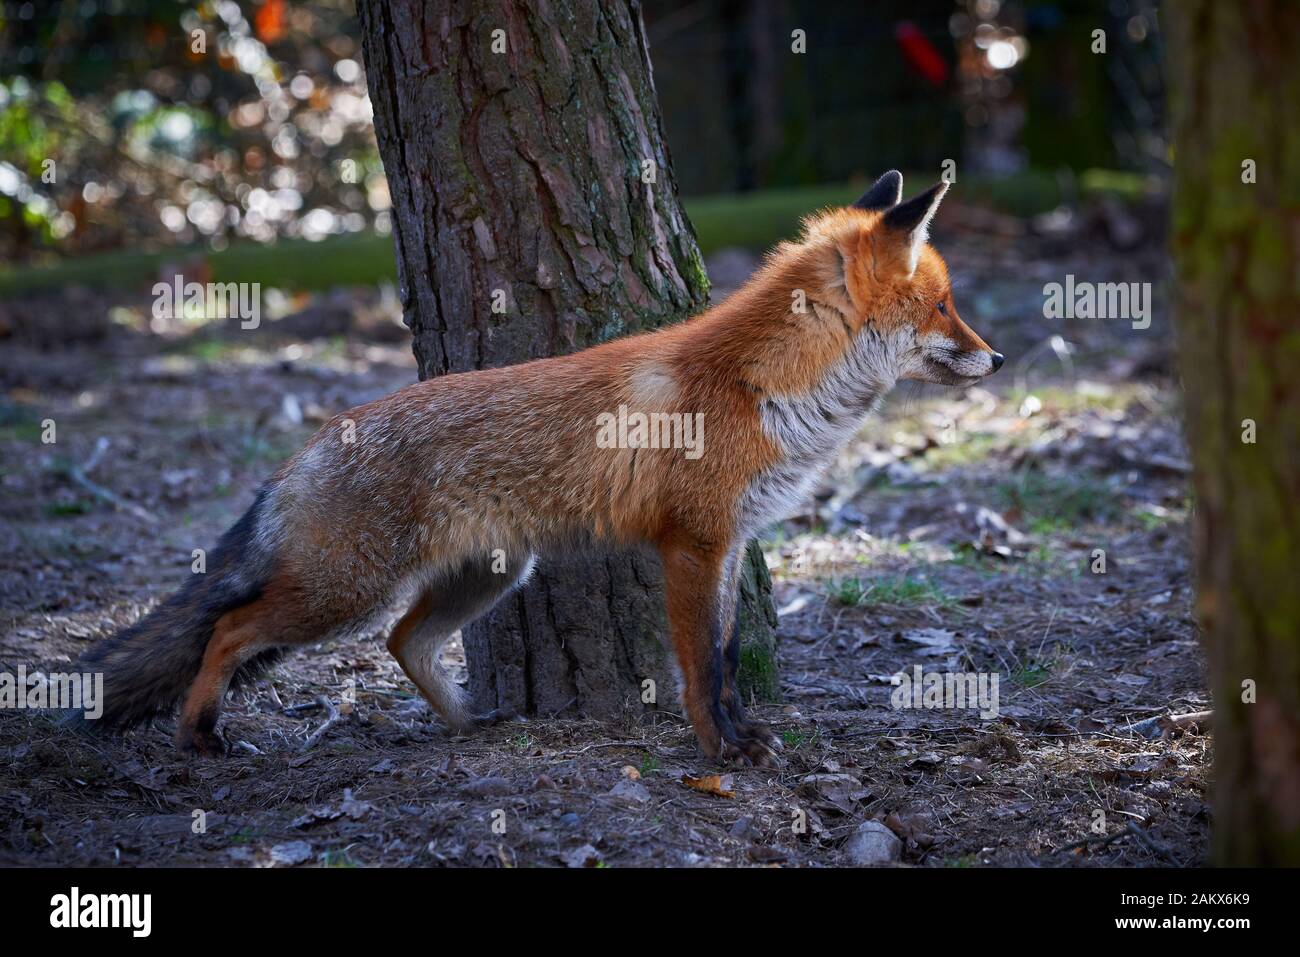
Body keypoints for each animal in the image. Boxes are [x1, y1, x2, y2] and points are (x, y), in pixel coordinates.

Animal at [71, 171, 1001, 766]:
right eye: (945, 305)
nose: (996, 359)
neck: (761, 386)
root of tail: (305, 452)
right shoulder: (692, 544)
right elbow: (700, 664)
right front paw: (720, 751)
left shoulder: (732, 541)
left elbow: (731, 655)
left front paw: (743, 733)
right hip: (344, 592)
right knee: (231, 630)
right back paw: (199, 736)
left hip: (488, 573)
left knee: (403, 640)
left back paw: (466, 725)